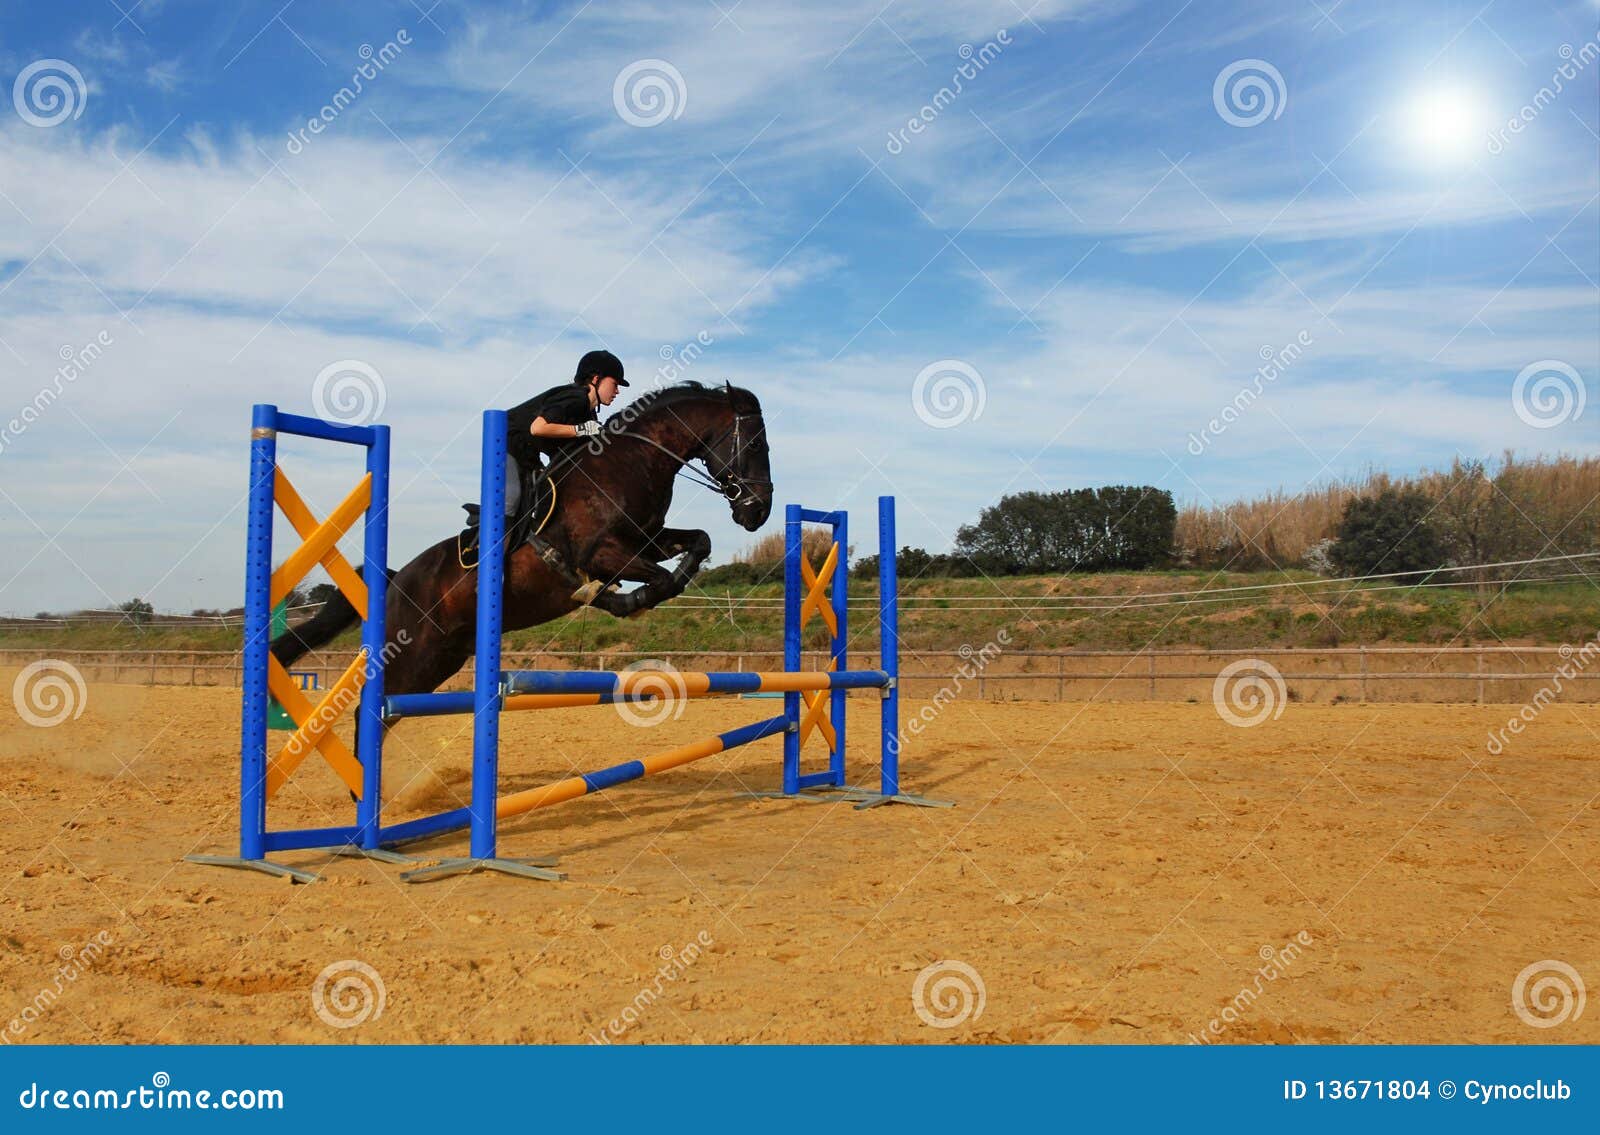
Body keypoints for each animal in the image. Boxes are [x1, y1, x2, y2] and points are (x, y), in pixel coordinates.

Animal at [271, 381, 773, 699]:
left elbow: (698, 543)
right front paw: (626, 601)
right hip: (412, 653)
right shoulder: (602, 552)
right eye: (755, 446)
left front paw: (638, 594)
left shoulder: (646, 540)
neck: (634, 460)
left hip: (441, 658)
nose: (758, 512)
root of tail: (394, 581)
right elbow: (657, 580)